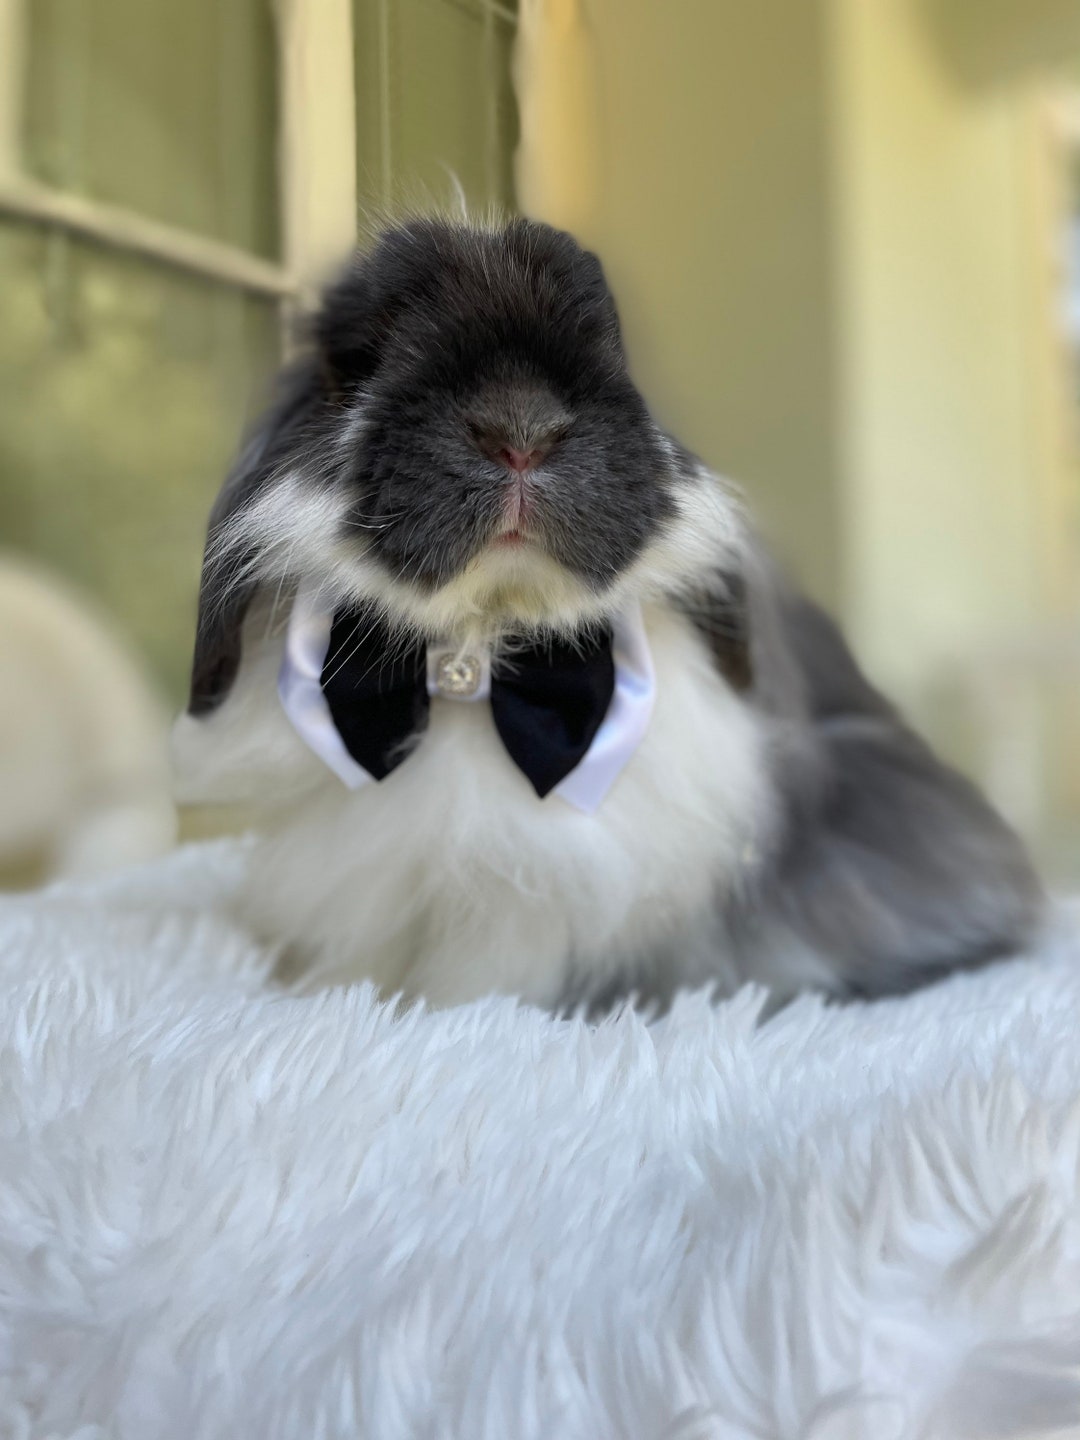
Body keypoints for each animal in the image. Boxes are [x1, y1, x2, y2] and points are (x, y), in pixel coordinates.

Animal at [171, 216, 1043, 1010]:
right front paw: (343, 997)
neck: (483, 648)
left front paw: (460, 1014)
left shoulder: (530, 892)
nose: (521, 432)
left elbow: (484, 977)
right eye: (362, 358)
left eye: (608, 345)